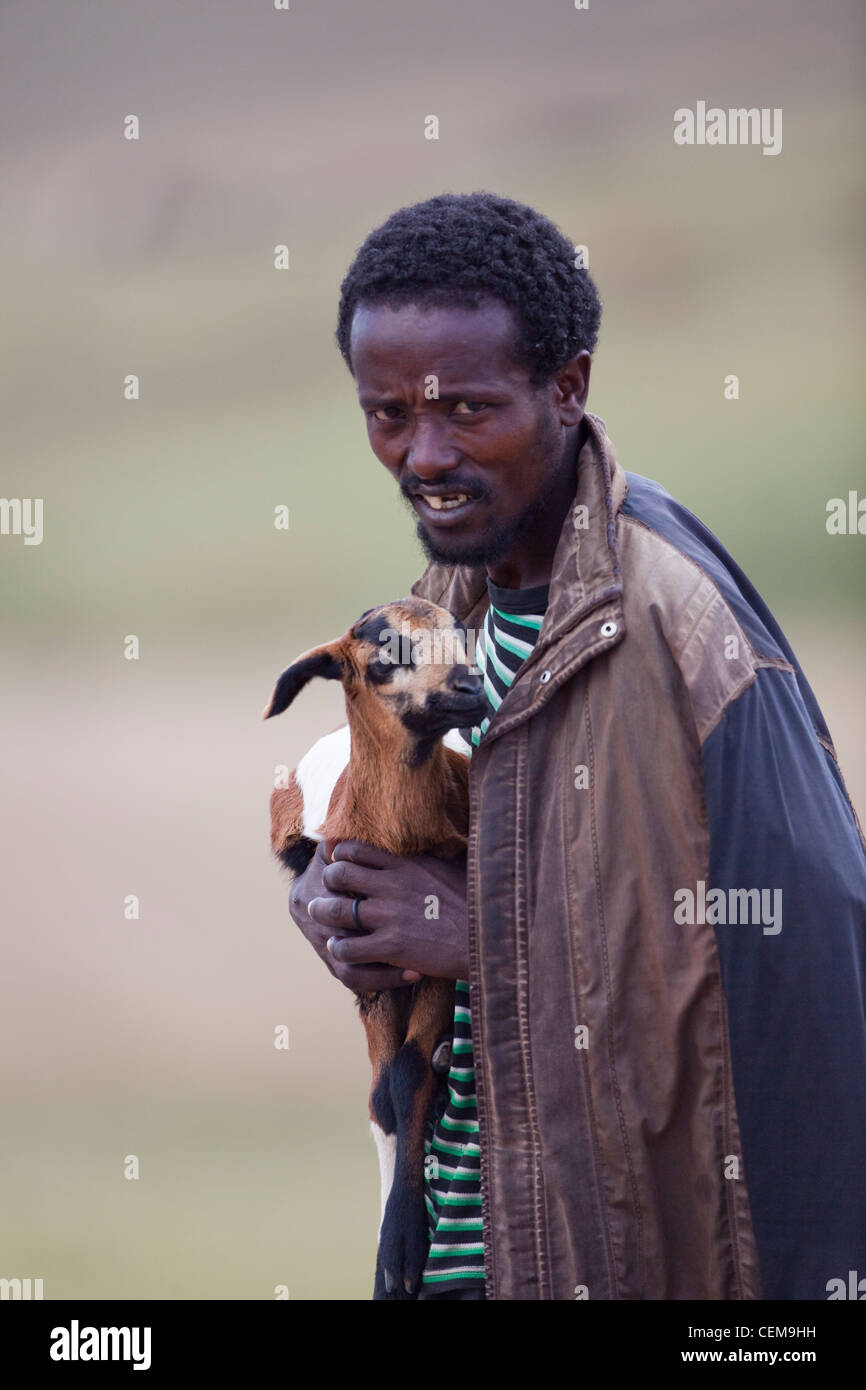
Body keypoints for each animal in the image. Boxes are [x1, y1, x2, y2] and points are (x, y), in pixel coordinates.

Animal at [263, 597, 487, 1299]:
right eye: (388, 652)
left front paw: (404, 1250)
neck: (397, 826)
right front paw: (393, 1262)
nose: (470, 688)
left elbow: (408, 1075)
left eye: (459, 634)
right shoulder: (374, 971)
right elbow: (388, 1096)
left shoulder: (430, 955)